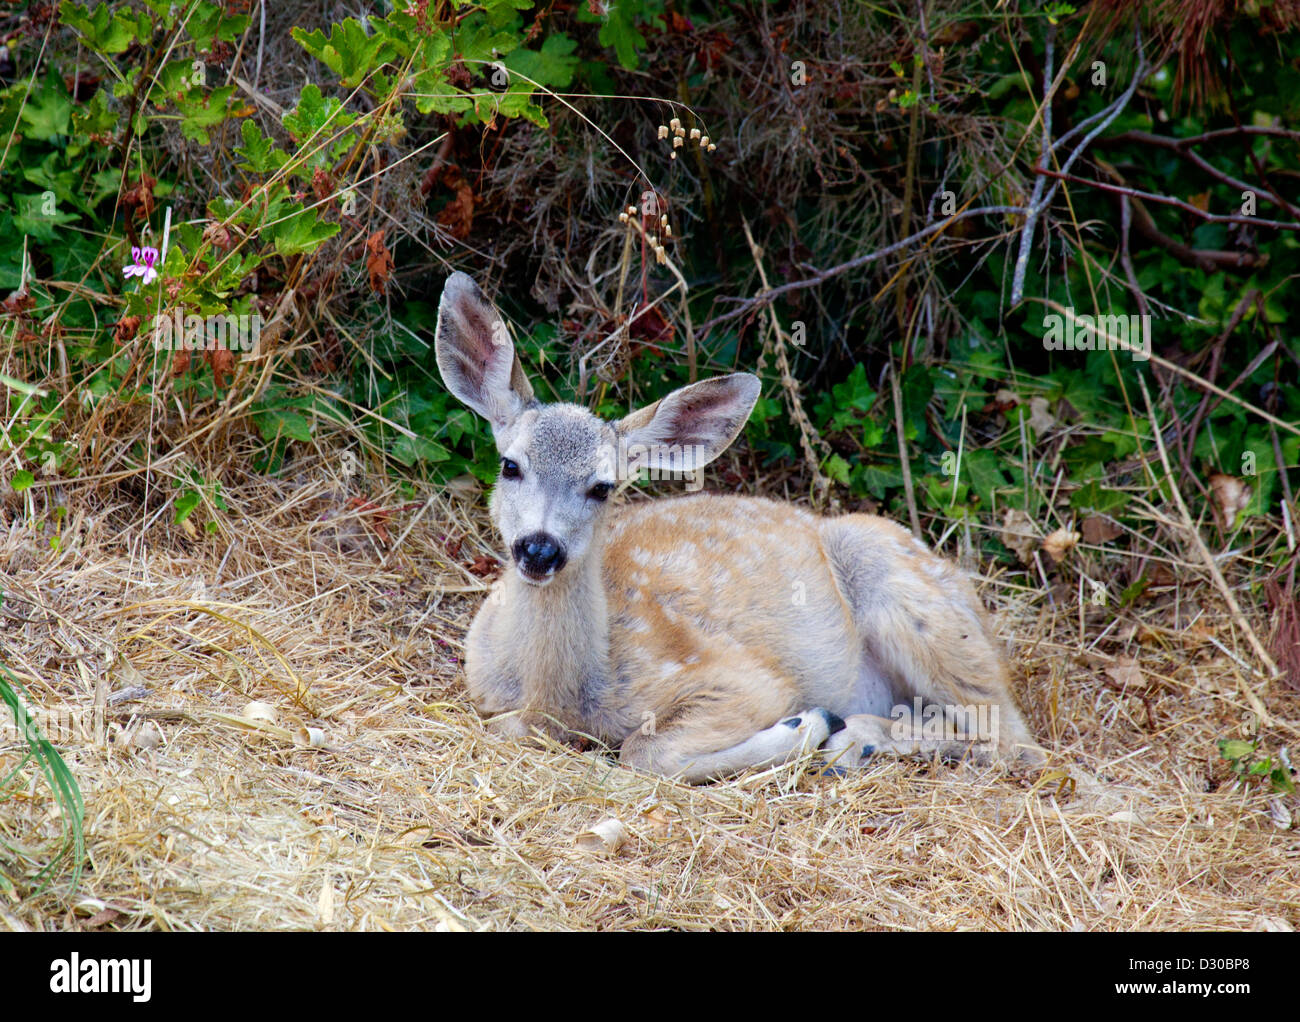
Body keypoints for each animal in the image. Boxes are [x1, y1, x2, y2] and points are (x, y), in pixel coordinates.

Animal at [436, 272, 1043, 783]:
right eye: (510, 465)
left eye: (603, 487)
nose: (540, 549)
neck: (559, 694)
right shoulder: (484, 687)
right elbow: (509, 728)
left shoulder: (738, 676)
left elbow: (646, 751)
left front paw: (805, 724)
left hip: (909, 594)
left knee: (1016, 740)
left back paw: (854, 739)